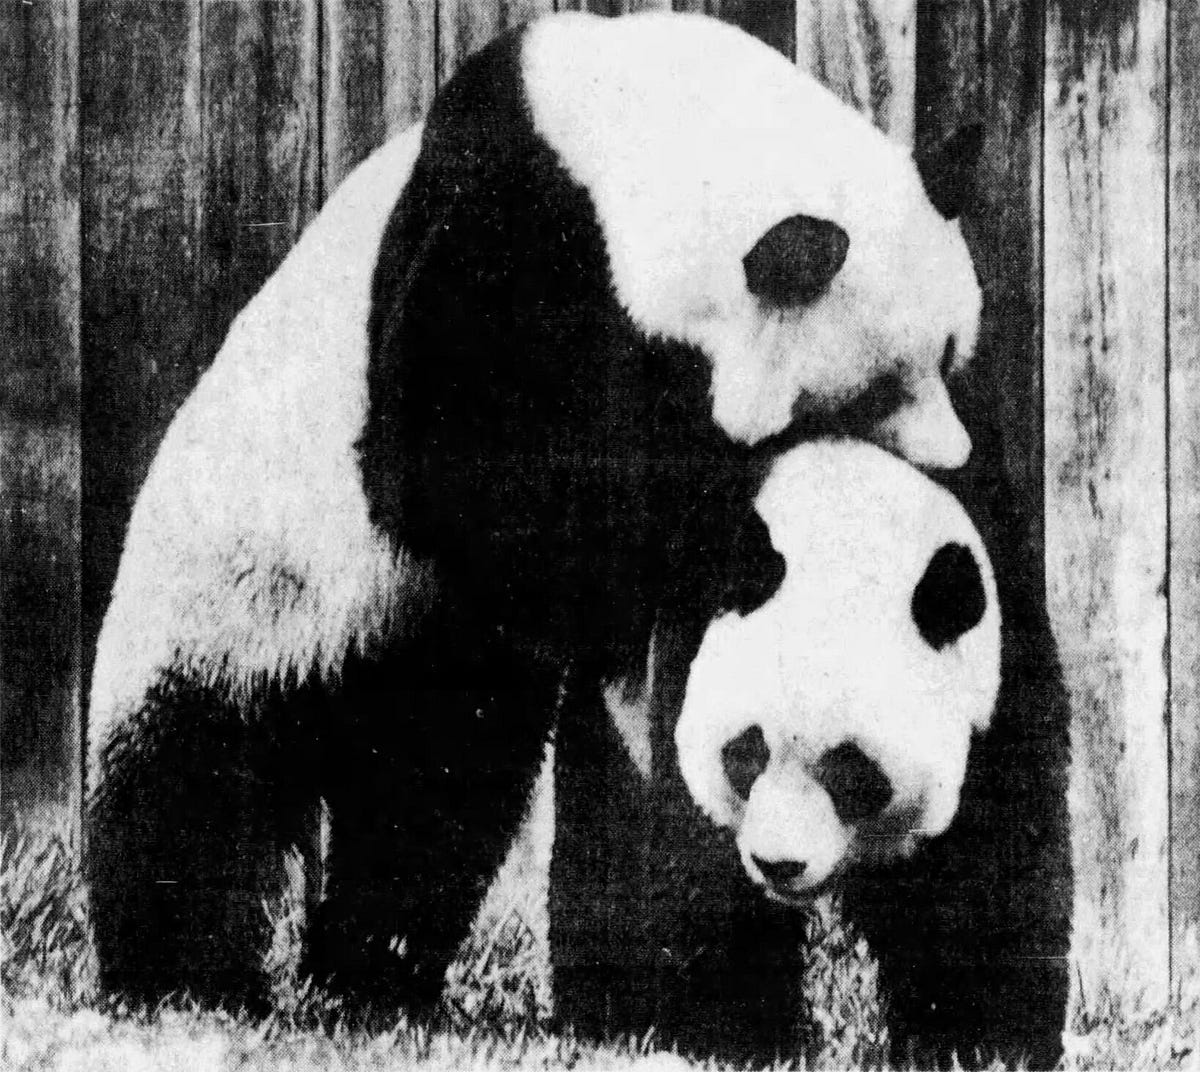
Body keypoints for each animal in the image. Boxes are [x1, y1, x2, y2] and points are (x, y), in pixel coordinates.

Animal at [88, 9, 992, 1035]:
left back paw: (369, 976)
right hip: (237, 595)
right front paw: (674, 524)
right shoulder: (508, 228)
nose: (954, 461)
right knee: (188, 794)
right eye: (880, 388)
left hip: (415, 649)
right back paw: (184, 984)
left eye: (952, 351)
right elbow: (458, 467)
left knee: (431, 798)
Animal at [551, 440, 1070, 1069]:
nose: (779, 865)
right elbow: (694, 862)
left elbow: (989, 872)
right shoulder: (681, 649)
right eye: (745, 754)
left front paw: (980, 1045)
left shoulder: (1002, 676)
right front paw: (736, 1038)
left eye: (852, 772)